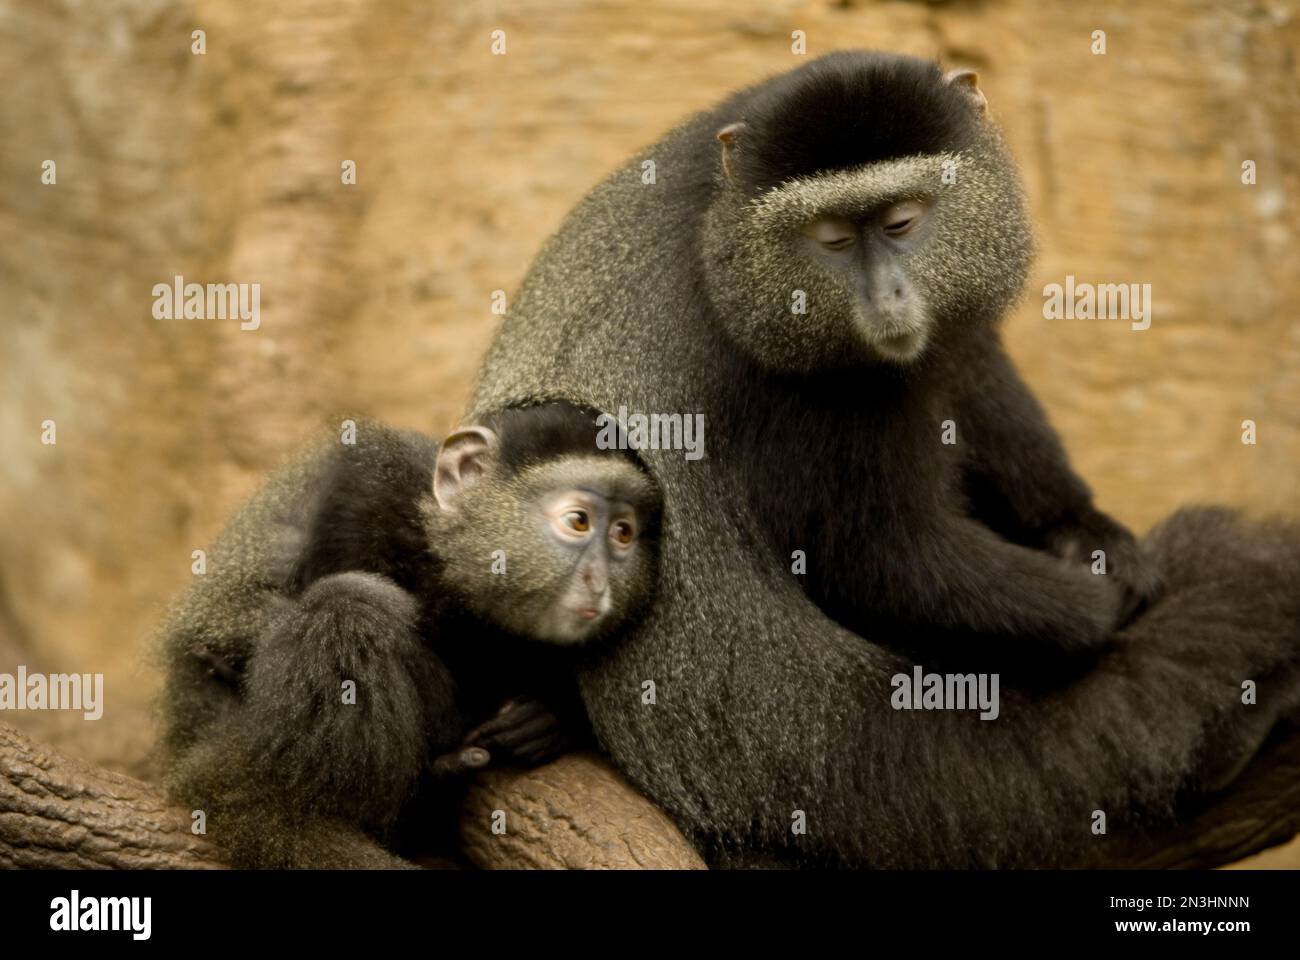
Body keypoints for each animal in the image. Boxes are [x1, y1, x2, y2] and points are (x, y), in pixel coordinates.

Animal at [155, 401, 661, 868]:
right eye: (579, 521)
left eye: (623, 534)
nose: (599, 580)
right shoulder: (368, 492)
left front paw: (547, 715)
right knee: (346, 607)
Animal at [468, 51, 1300, 867]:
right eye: (834, 237)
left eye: (902, 222)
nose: (888, 296)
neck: (722, 222)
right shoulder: (799, 382)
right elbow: (872, 556)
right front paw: (1094, 607)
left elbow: (966, 359)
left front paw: (1090, 534)